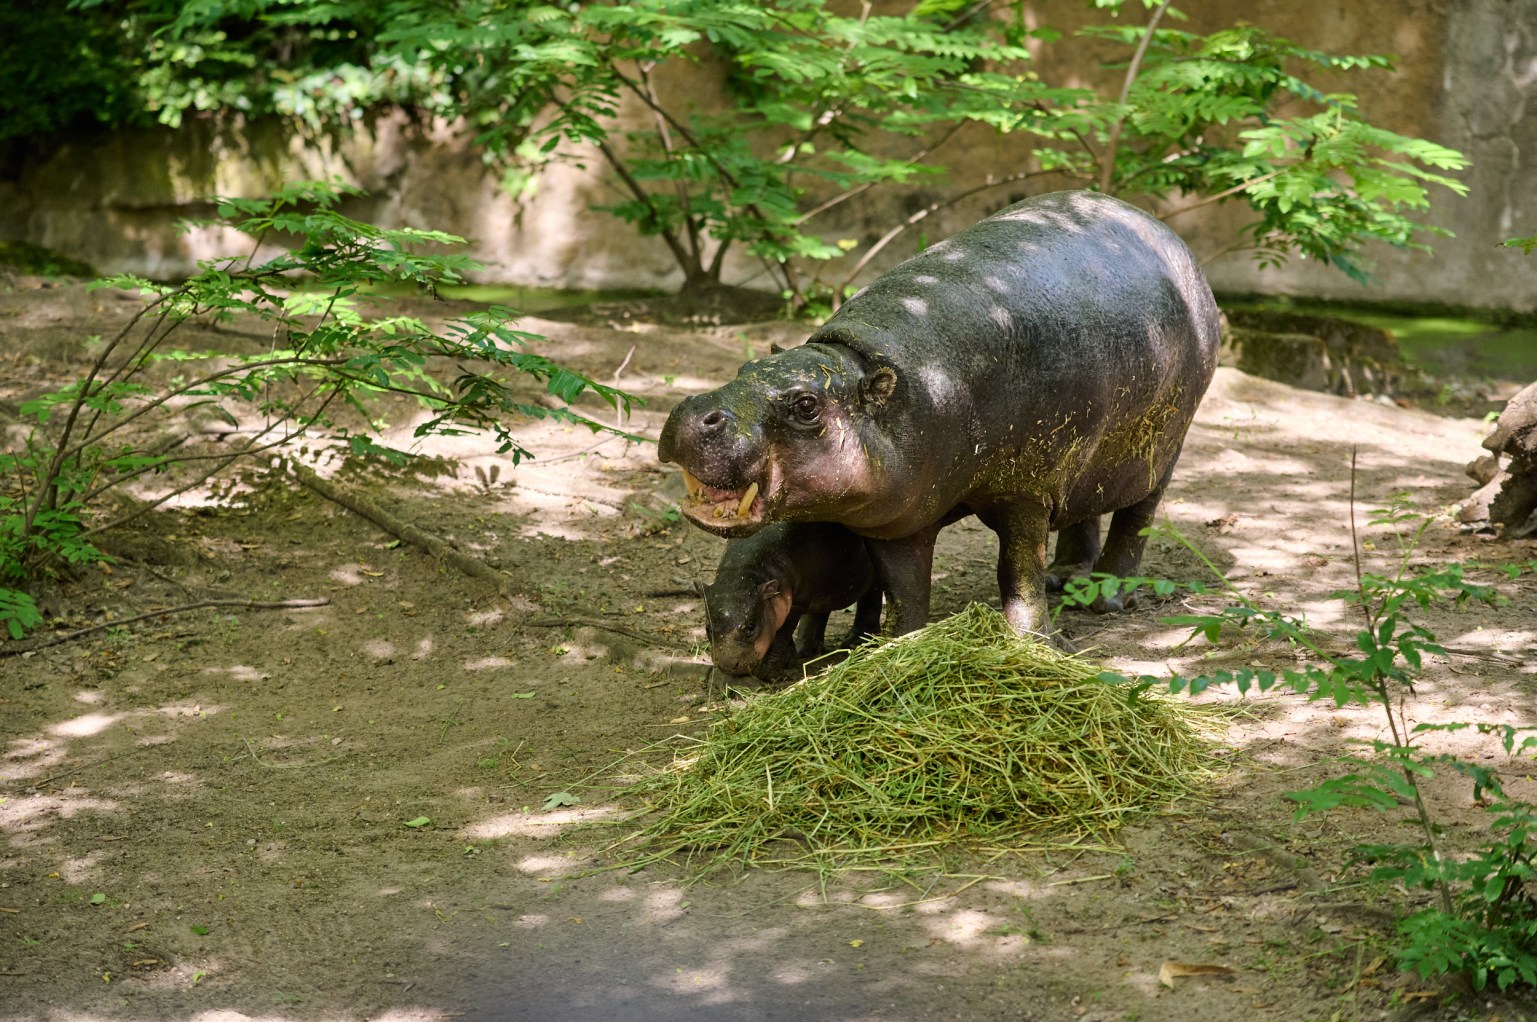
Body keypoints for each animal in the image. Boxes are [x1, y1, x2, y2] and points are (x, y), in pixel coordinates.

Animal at [659, 190, 1220, 638]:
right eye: (747, 365)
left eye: (806, 405)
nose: (695, 409)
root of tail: (1166, 231)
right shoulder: (899, 519)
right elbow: (905, 586)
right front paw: (899, 644)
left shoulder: (1024, 491)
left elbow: (1017, 570)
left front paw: (1033, 642)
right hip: (1087, 455)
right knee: (1083, 509)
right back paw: (1066, 579)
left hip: (1162, 449)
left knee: (1137, 518)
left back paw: (1107, 598)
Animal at [704, 521, 883, 678]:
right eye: (707, 627)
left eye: (750, 626)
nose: (727, 666)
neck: (746, 574)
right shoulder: (784, 603)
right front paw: (789, 660)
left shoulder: (796, 604)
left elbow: (781, 636)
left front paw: (768, 673)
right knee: (820, 612)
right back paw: (806, 649)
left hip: (871, 576)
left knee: (870, 601)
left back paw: (856, 642)